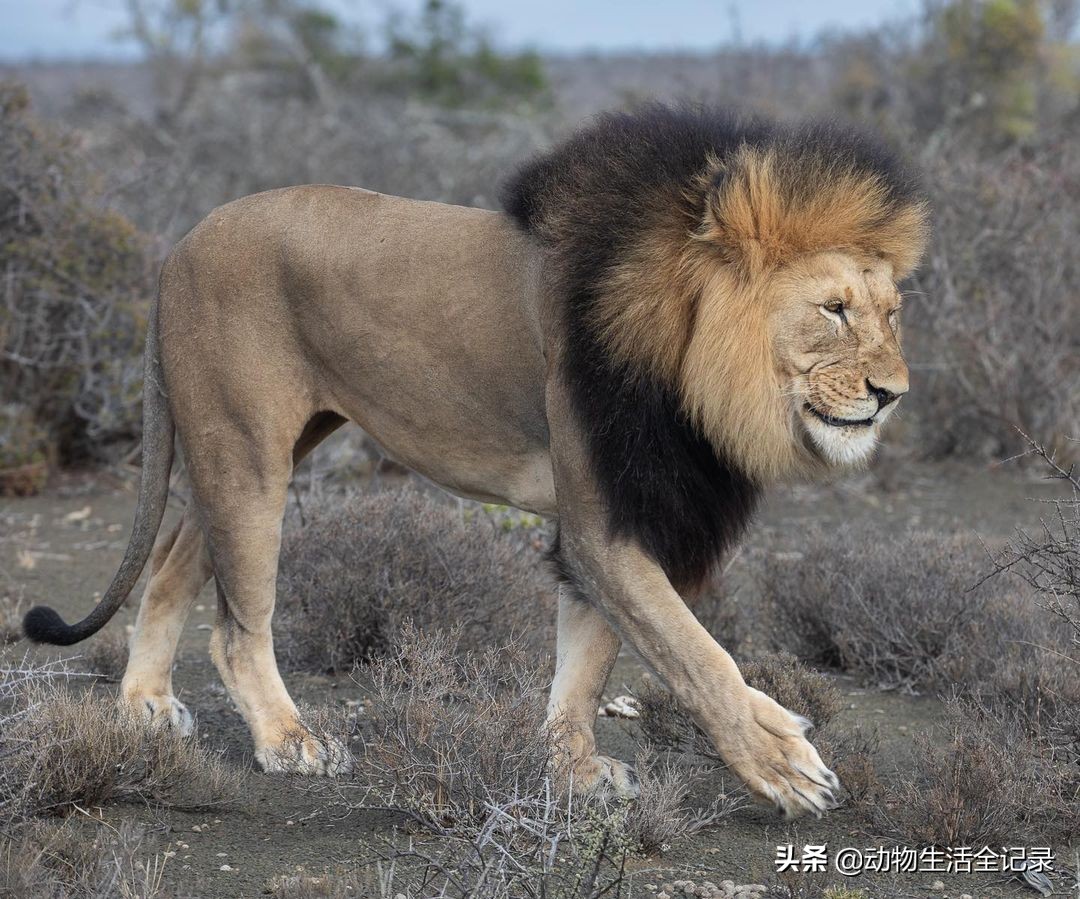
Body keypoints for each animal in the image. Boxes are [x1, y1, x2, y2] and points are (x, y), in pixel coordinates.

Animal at [24, 104, 928, 819]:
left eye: (891, 313)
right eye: (833, 310)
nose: (893, 393)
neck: (688, 353)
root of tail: (179, 245)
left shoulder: (618, 510)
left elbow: (587, 662)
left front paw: (575, 770)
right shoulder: (603, 521)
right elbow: (696, 655)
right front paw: (783, 762)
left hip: (254, 443)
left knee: (174, 556)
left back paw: (145, 703)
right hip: (246, 451)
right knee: (239, 626)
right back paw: (289, 739)